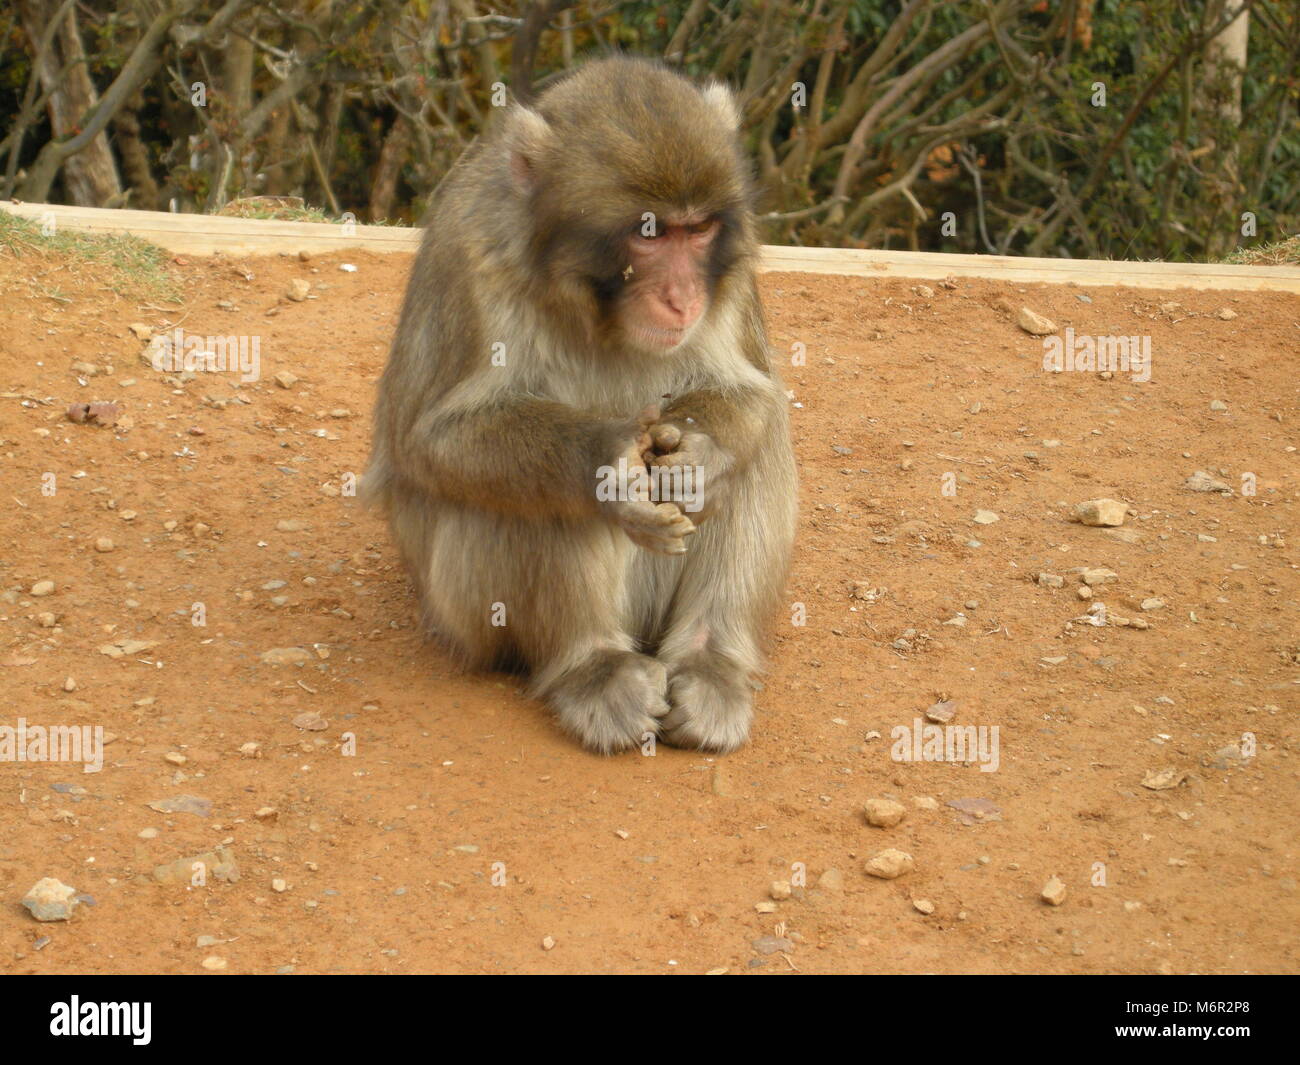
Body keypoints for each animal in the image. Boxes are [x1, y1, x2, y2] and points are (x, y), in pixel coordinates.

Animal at [366, 56, 797, 754]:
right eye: (650, 234)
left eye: (698, 229)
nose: (682, 298)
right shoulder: (474, 257)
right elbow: (433, 441)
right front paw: (610, 459)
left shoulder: (728, 275)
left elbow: (753, 395)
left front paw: (698, 457)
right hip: (461, 611)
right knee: (541, 492)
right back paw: (592, 667)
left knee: (755, 457)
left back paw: (709, 662)